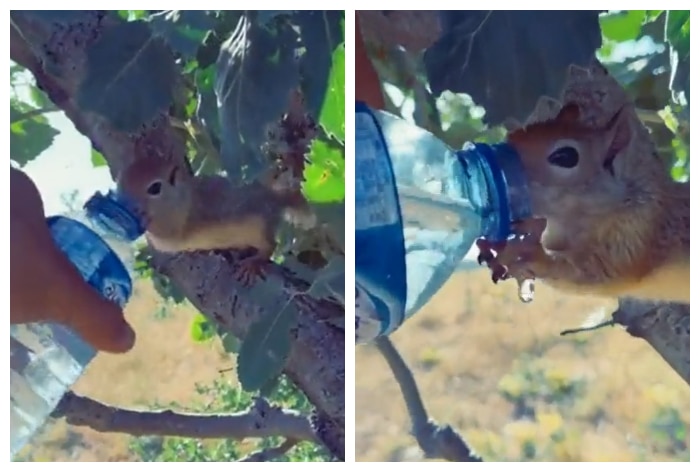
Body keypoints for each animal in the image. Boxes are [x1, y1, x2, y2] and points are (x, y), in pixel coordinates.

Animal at [116, 157, 316, 278]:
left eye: (155, 188)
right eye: (121, 185)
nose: (128, 205)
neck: (183, 196)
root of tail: (274, 198)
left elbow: (167, 231)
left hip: (257, 226)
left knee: (270, 245)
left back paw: (255, 262)